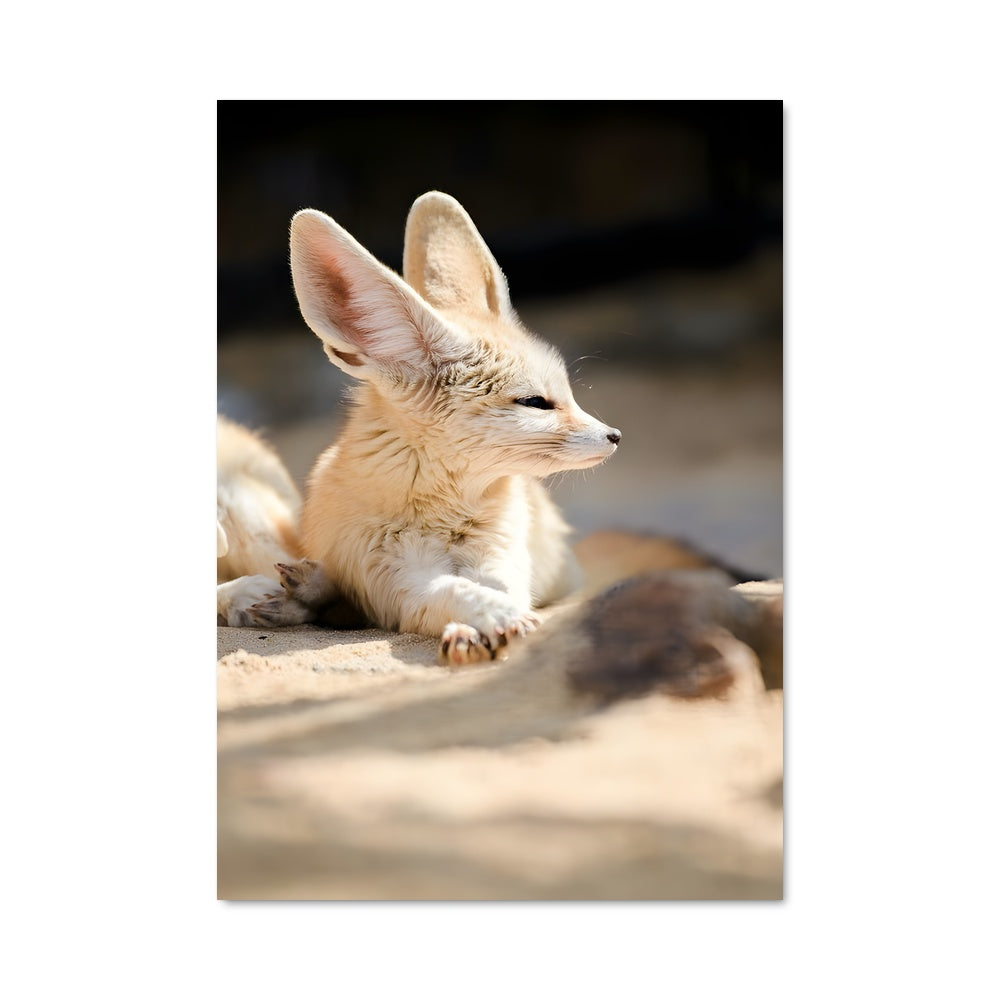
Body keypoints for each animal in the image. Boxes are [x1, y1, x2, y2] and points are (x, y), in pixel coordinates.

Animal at [229, 191, 621, 663]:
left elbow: (500, 591)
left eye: (567, 394)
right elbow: (452, 590)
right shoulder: (398, 580)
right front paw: (487, 620)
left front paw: (494, 624)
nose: (615, 436)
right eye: (535, 403)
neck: (446, 515)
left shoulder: (500, 559)